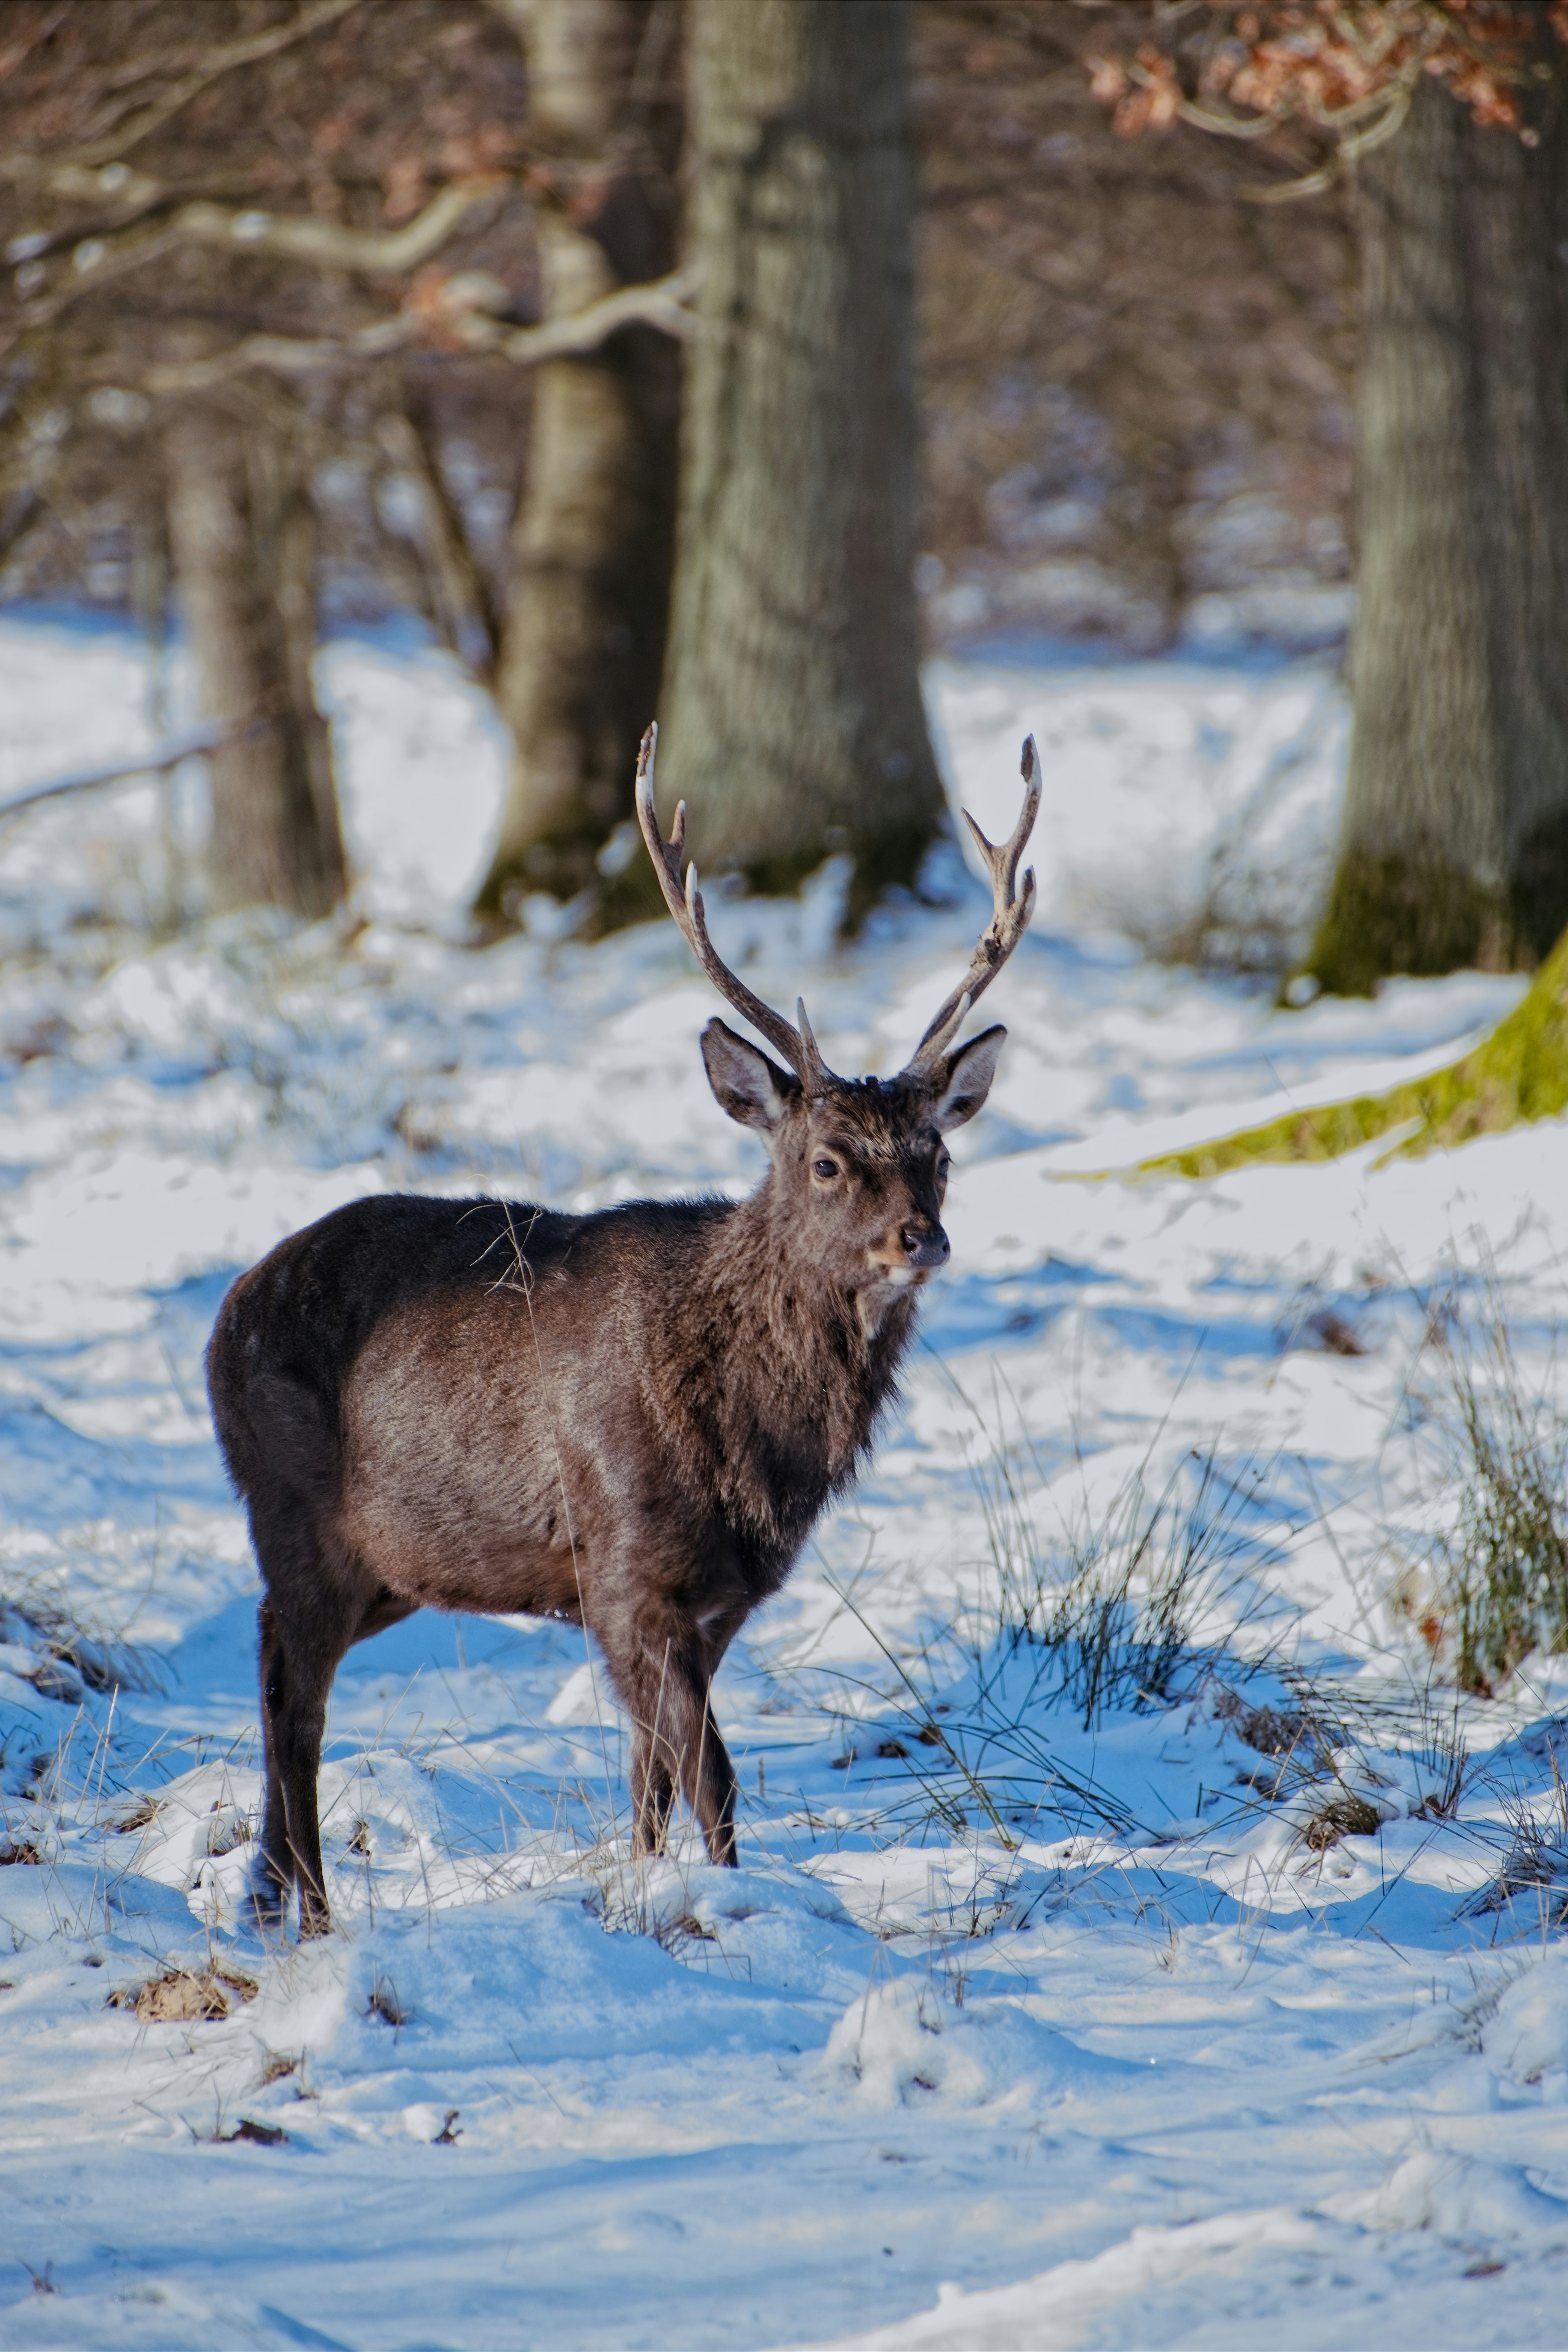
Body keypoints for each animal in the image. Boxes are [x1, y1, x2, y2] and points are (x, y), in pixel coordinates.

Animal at [207, 724, 1040, 1935]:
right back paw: (313, 1911)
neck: (756, 1447)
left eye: (937, 1151)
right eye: (827, 1161)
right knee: (291, 1695)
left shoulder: (721, 1596)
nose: (918, 1239)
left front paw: (643, 1892)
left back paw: (264, 1896)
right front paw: (727, 1912)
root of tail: (225, 1313)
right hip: (293, 1512)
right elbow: (714, 1776)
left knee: (275, 1661)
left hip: (391, 1568)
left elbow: (652, 1774)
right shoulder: (622, 1564)